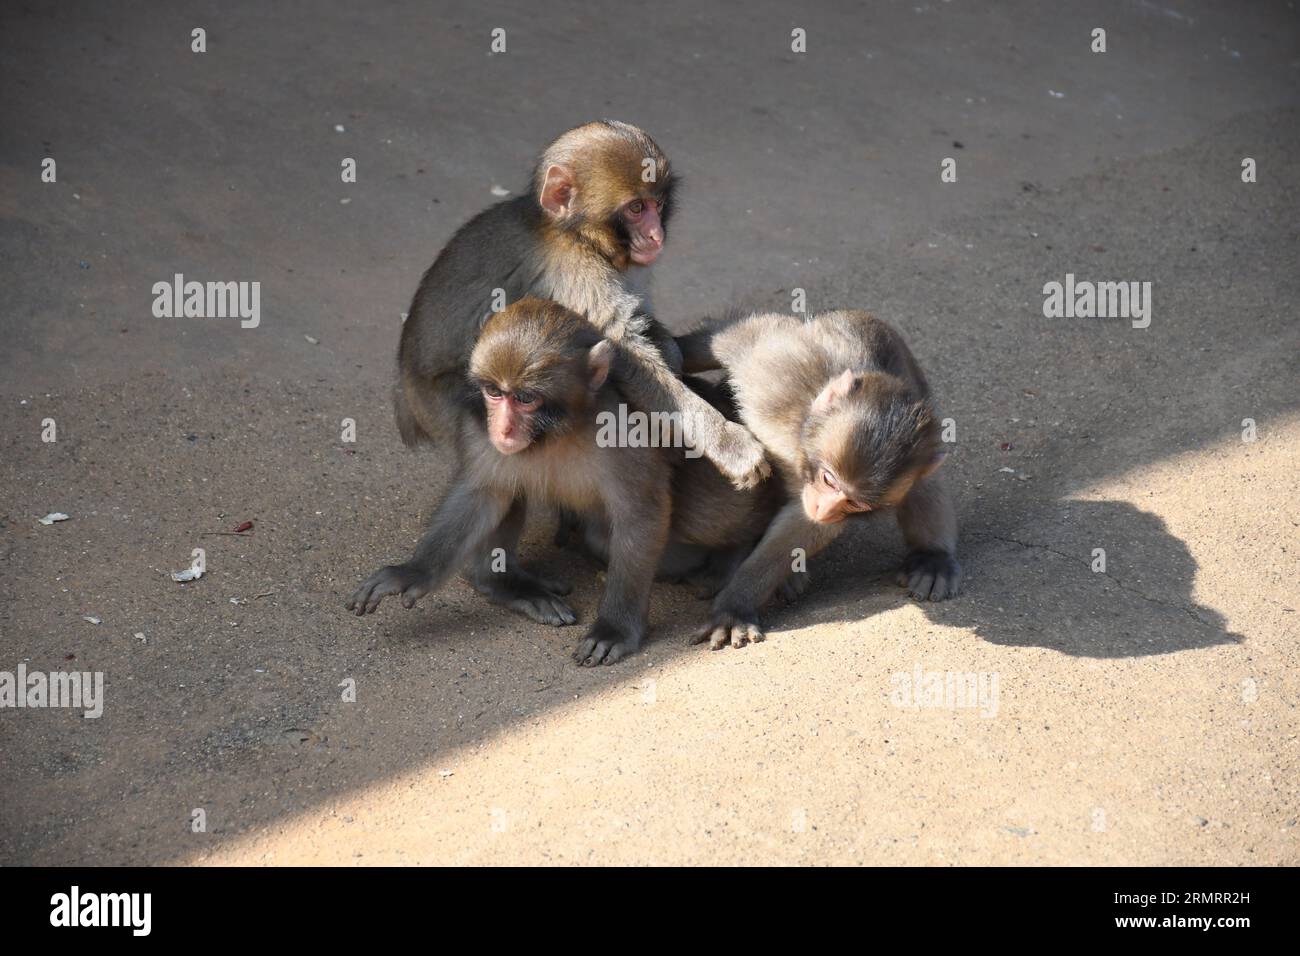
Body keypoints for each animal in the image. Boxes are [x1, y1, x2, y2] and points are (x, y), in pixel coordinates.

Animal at [347, 297, 674, 666]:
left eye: (526, 398)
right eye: (494, 392)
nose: (502, 429)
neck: (555, 435)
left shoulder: (622, 430)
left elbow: (639, 513)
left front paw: (616, 626)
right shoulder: (479, 427)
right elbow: (483, 493)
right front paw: (415, 571)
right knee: (508, 488)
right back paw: (503, 583)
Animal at [390, 120, 767, 625]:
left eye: (658, 203)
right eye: (635, 208)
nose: (655, 236)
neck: (572, 232)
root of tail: (405, 399)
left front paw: (672, 347)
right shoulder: (571, 267)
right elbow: (628, 355)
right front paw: (729, 444)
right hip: (454, 405)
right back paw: (498, 581)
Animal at [673, 310, 961, 649]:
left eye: (854, 503)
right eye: (829, 480)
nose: (824, 508)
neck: (800, 443)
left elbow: (805, 528)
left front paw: (737, 604)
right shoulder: (774, 380)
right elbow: (733, 338)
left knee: (926, 476)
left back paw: (932, 557)